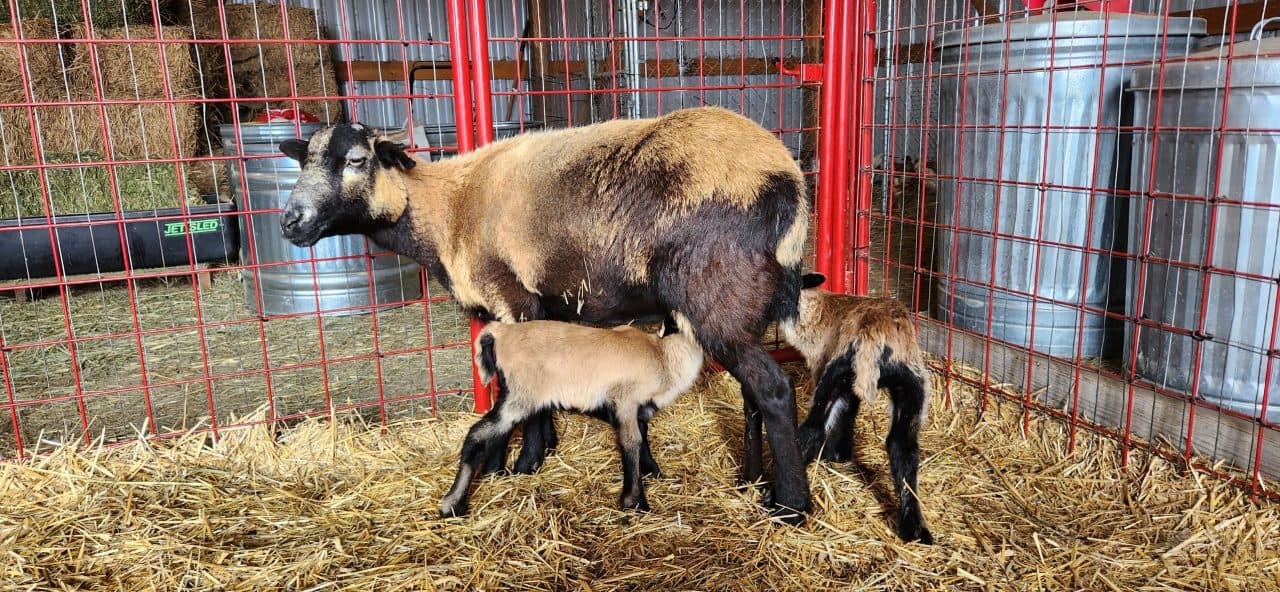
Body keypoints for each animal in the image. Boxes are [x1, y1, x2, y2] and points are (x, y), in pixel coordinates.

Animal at [438, 312, 704, 518]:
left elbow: (643, 439)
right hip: (521, 394)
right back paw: (452, 505)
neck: (663, 355)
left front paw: (654, 473)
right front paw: (635, 502)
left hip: (515, 395)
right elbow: (632, 443)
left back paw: (495, 473)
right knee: (477, 435)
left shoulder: (641, 410)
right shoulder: (625, 402)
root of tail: (500, 333)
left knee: (497, 433)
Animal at [781, 272, 933, 543]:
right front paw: (840, 455)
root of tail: (874, 332)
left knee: (812, 430)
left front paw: (834, 456)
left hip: (834, 374)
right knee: (902, 447)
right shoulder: (849, 387)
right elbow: (849, 412)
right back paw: (915, 530)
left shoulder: (821, 367)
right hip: (911, 386)